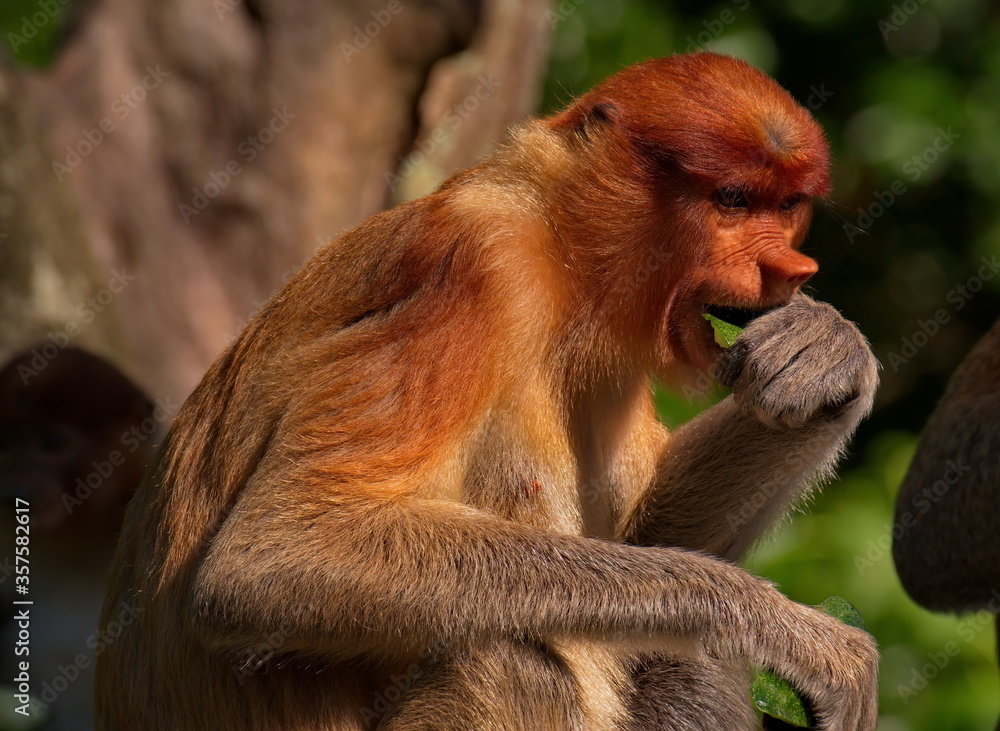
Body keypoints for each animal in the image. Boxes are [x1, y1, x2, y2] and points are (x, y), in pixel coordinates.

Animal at [96, 52, 879, 731]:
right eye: (732, 200)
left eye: (787, 206)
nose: (791, 269)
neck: (560, 249)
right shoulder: (471, 267)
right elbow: (270, 556)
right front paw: (770, 621)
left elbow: (649, 531)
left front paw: (826, 353)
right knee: (511, 656)